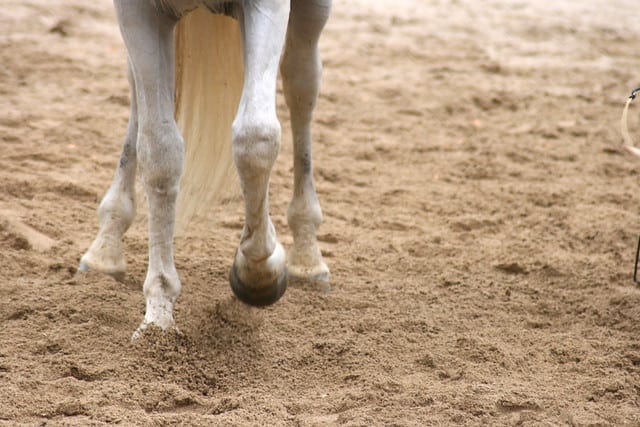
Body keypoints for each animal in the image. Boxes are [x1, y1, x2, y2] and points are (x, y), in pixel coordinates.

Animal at [78, 0, 332, 338]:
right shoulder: (137, 12)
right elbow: (159, 151)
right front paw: (158, 315)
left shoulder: (267, 7)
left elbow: (255, 137)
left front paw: (258, 276)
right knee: (136, 95)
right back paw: (105, 246)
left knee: (301, 83)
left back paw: (307, 256)